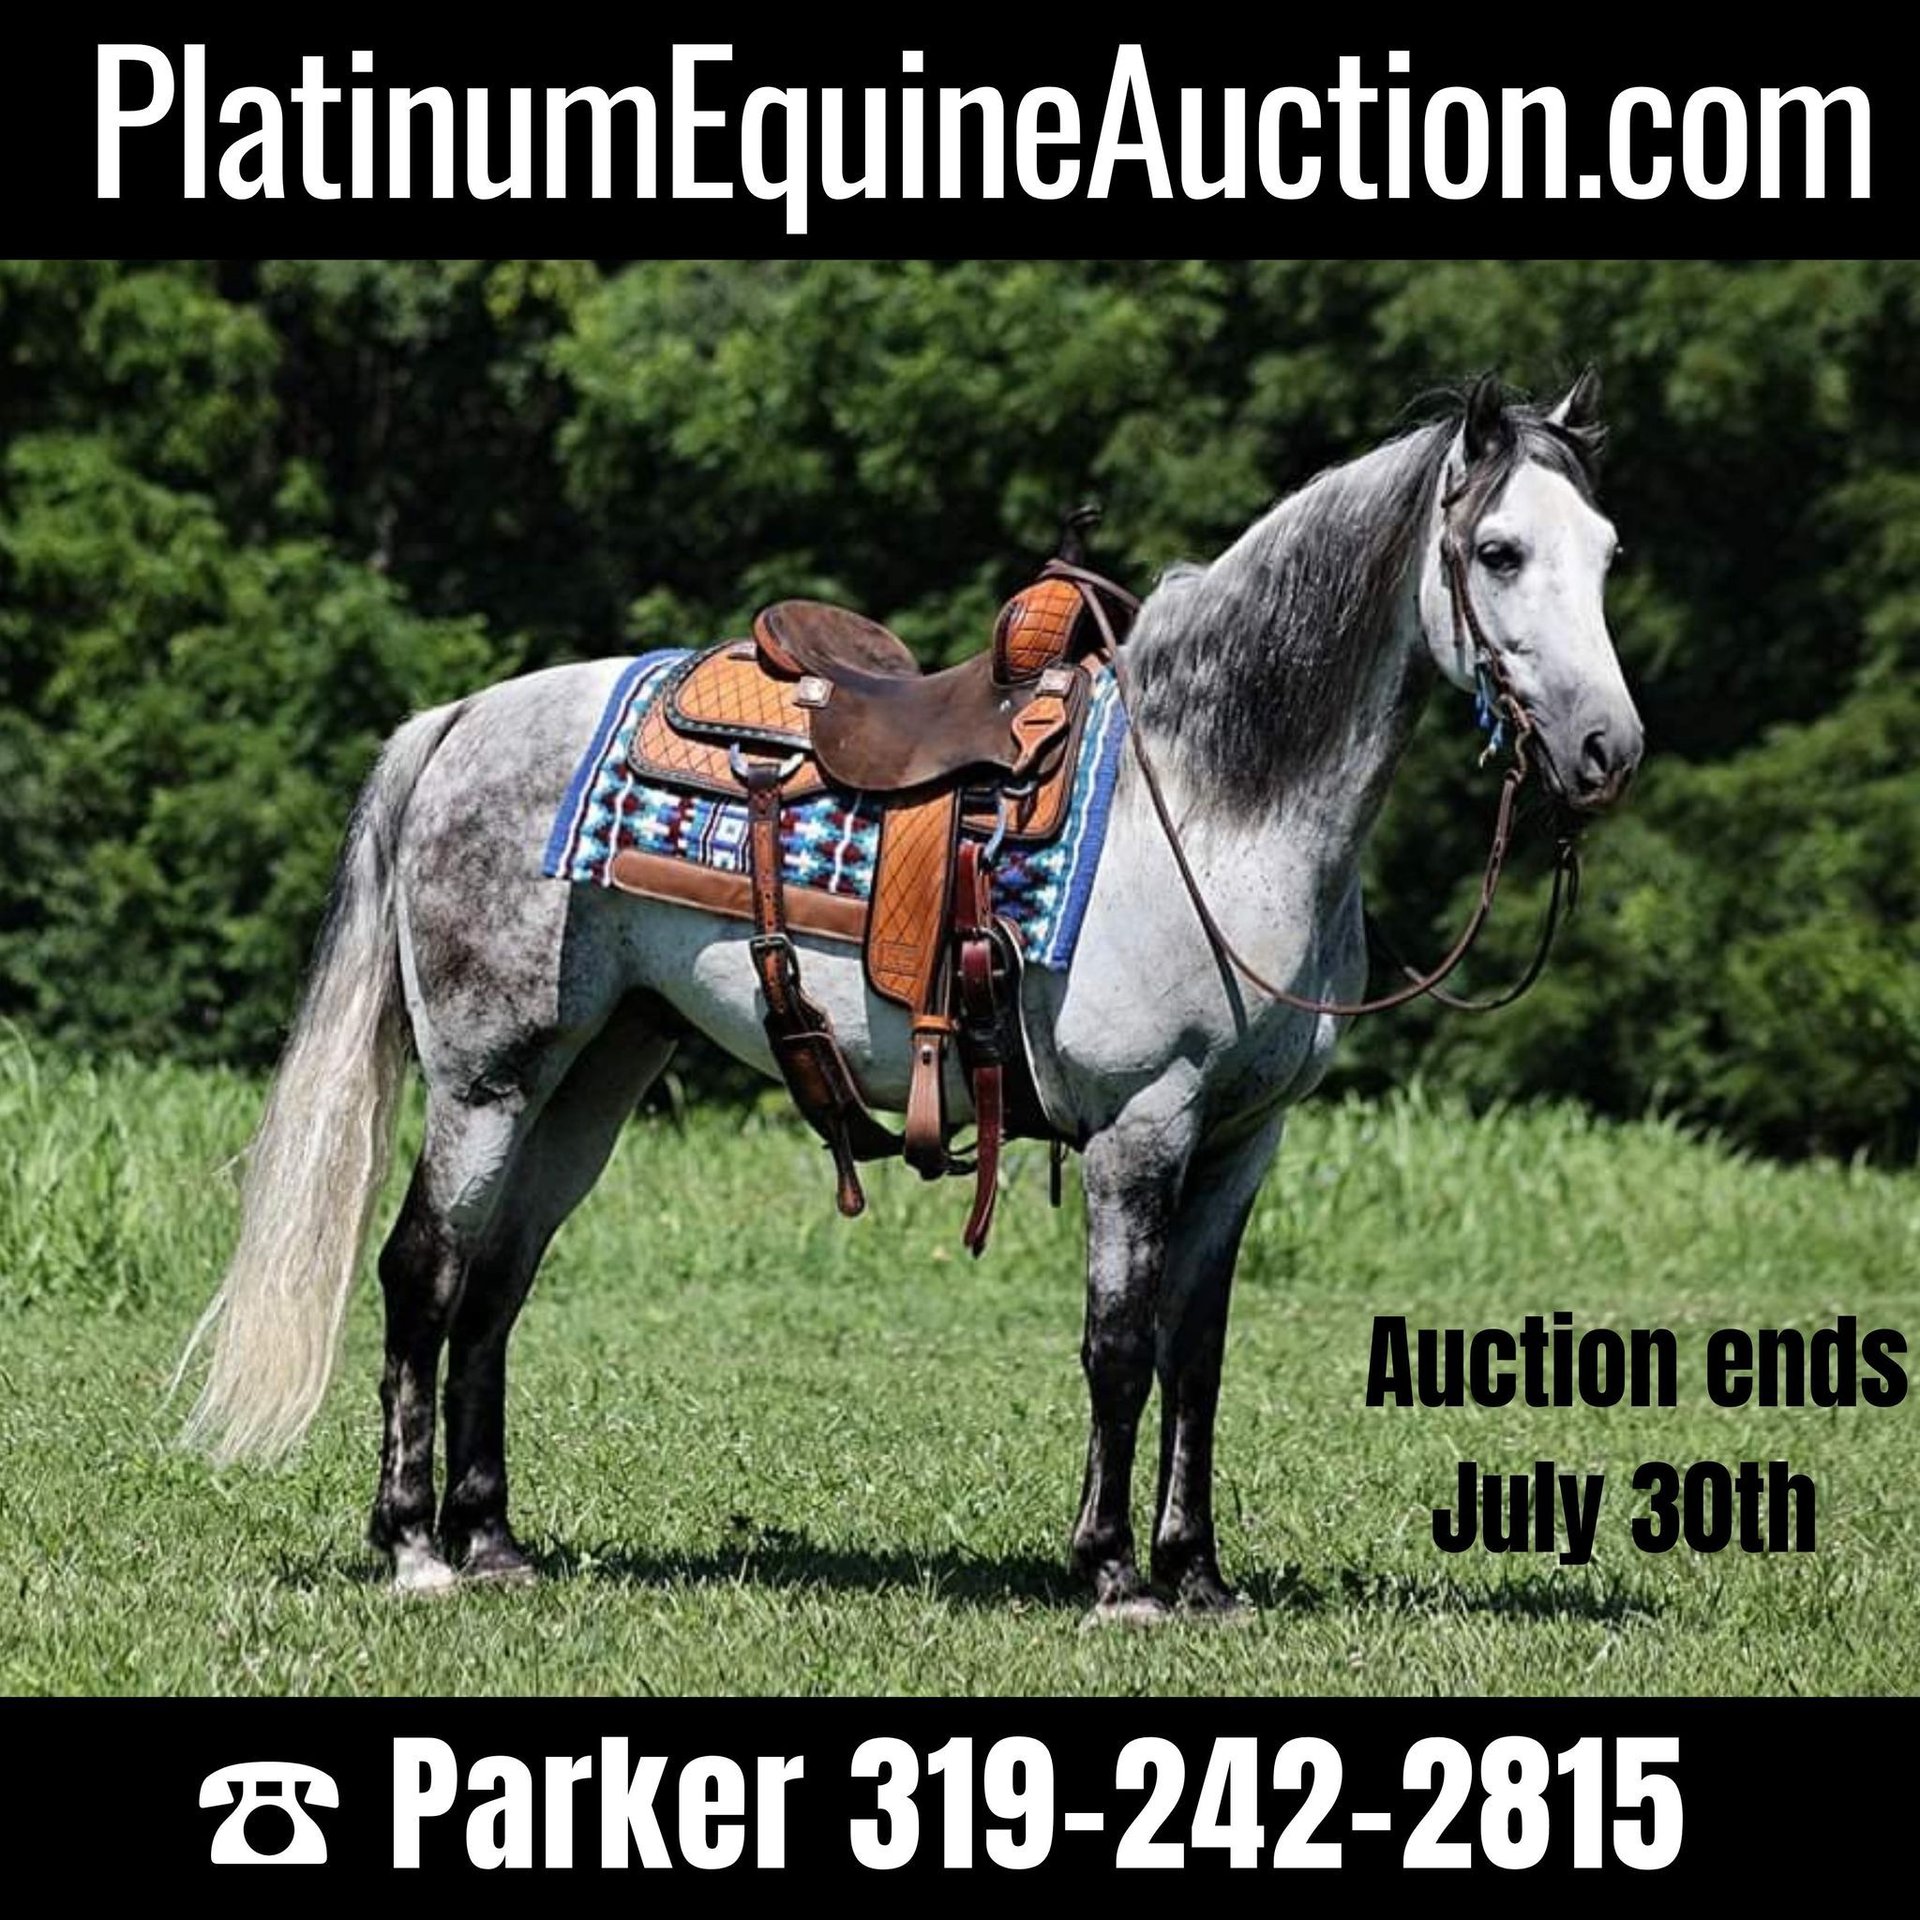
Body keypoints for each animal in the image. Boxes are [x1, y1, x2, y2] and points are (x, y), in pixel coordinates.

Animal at [178, 372, 1642, 1619]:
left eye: (1609, 552)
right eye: (1499, 552)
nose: (1607, 752)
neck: (1211, 801)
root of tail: (462, 720)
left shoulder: (1243, 1141)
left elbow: (1199, 1359)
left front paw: (1202, 1575)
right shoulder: (1142, 1129)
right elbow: (1119, 1345)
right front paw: (1115, 1575)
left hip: (593, 1078)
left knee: (496, 1282)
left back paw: (491, 1542)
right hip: (488, 1077)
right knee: (423, 1271)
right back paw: (415, 1549)